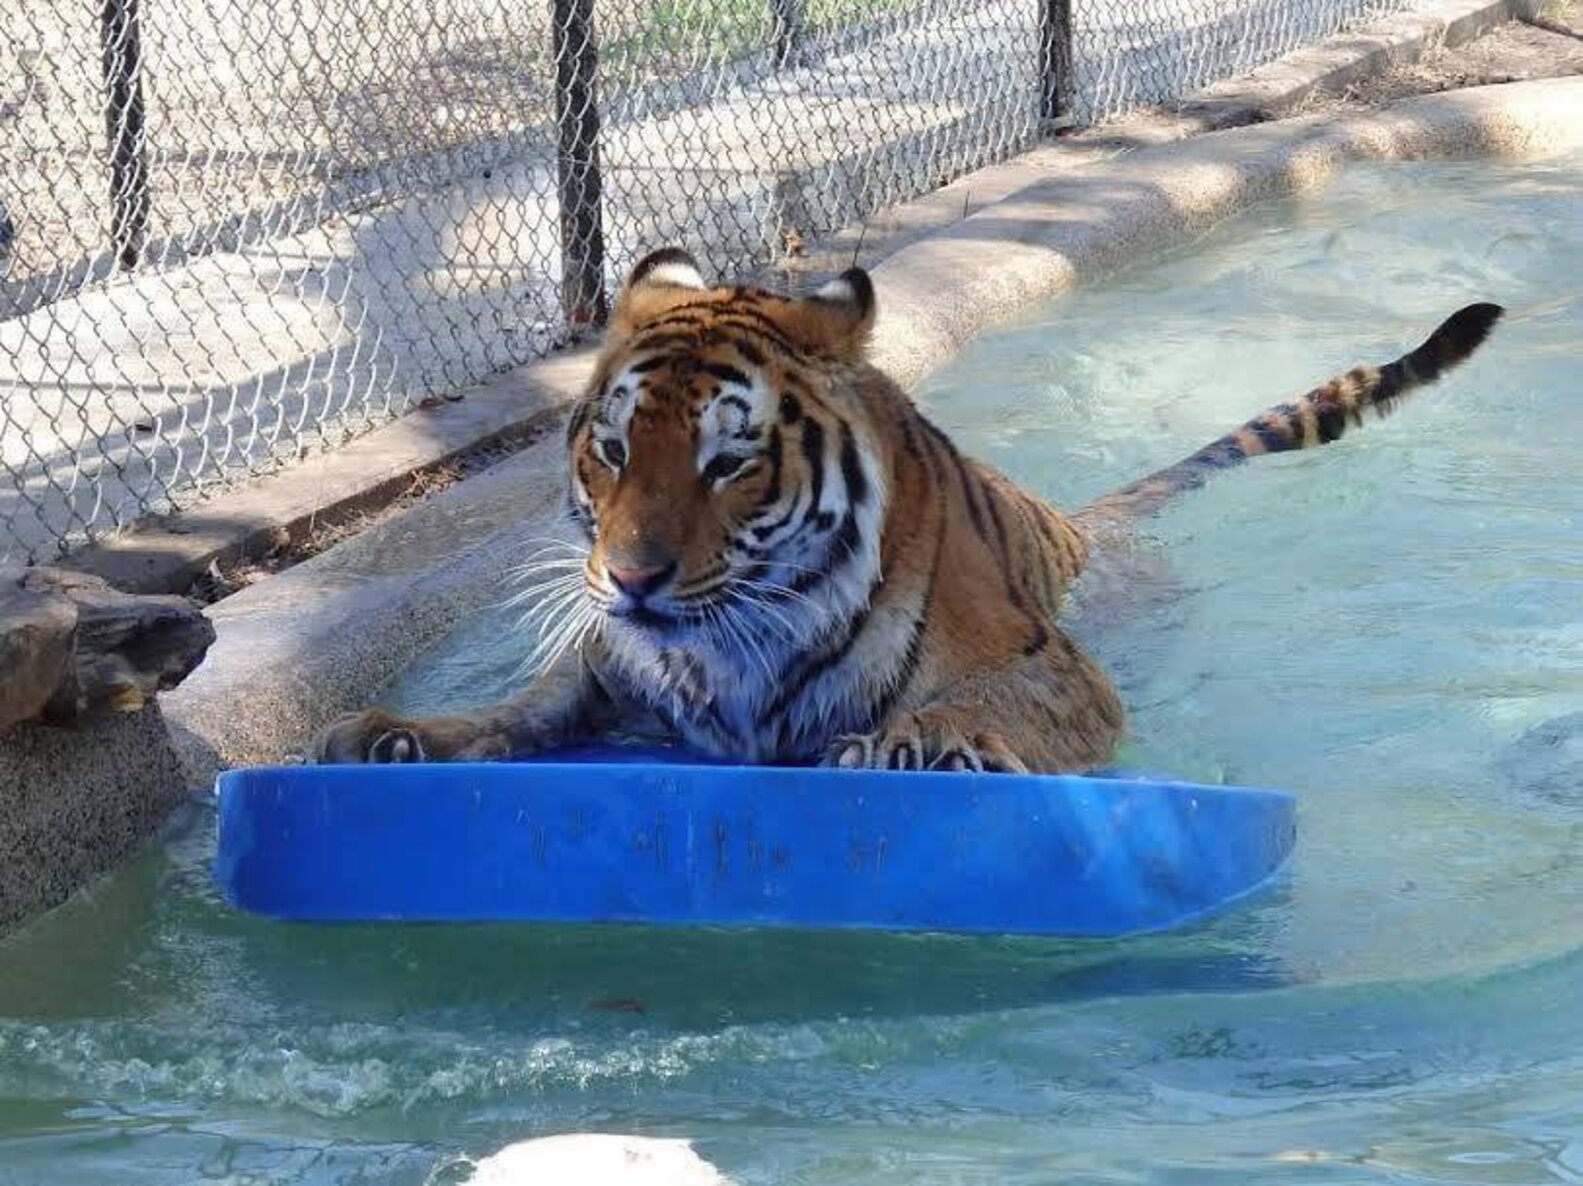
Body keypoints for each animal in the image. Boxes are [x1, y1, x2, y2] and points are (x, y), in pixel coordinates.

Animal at [312, 247, 1502, 774]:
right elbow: (520, 712)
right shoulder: (605, 675)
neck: (734, 650)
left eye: (726, 463)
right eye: (610, 453)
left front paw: (912, 744)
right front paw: (391, 733)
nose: (632, 580)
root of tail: (1088, 522)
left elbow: (982, 705)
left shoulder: (1057, 672)